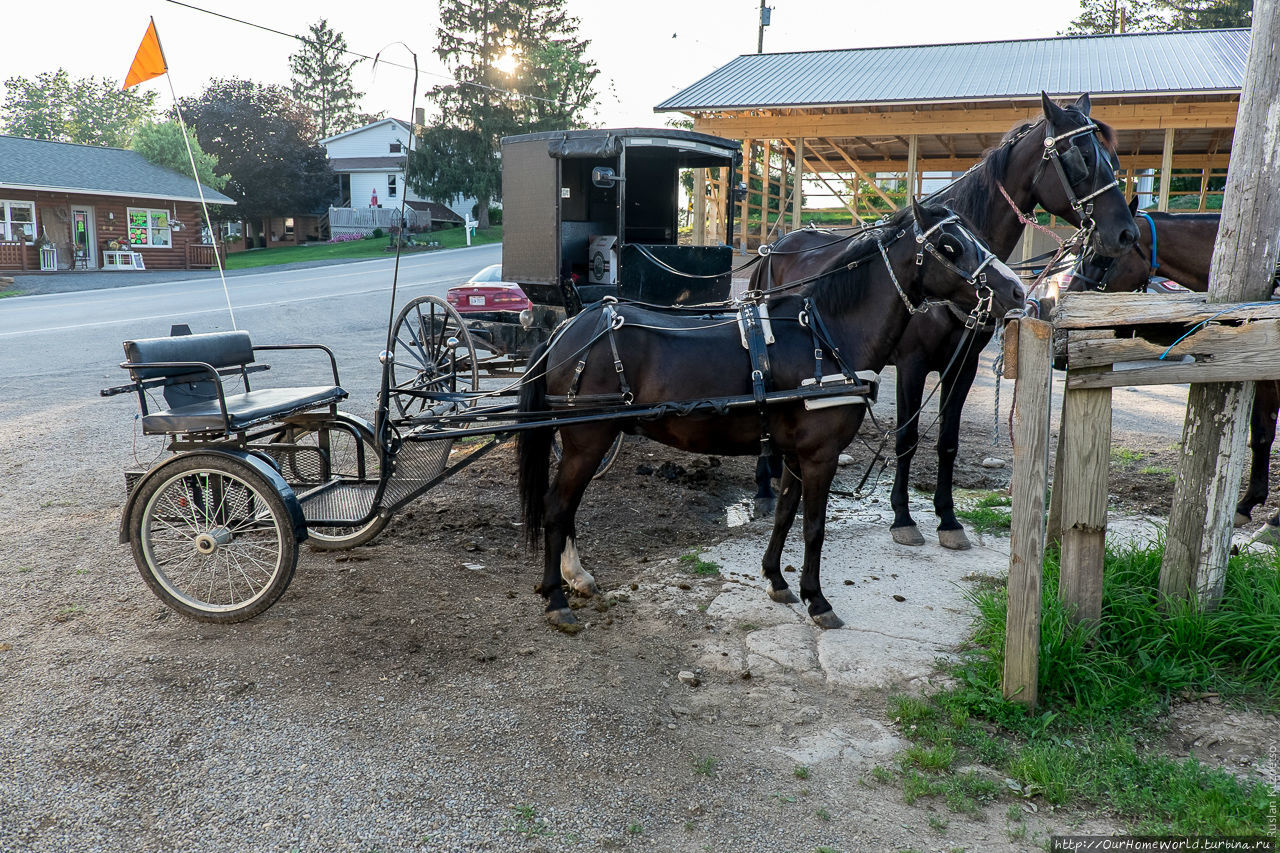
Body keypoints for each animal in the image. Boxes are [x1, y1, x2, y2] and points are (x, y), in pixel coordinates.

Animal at [514, 197, 1024, 625]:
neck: (827, 335)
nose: (1016, 292)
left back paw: (570, 580)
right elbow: (814, 528)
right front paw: (818, 600)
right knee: (557, 506)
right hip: (587, 441)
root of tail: (563, 333)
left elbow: (785, 515)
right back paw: (556, 597)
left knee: (565, 507)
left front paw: (778, 580)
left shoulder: (797, 455)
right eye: (950, 245)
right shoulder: (821, 456)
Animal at [747, 89, 1136, 548]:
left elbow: (948, 441)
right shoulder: (913, 364)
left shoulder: (962, 365)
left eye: (1113, 159)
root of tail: (777, 245)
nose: (1125, 233)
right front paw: (902, 517)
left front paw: (948, 519)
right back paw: (763, 490)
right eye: (1081, 158)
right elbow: (908, 436)